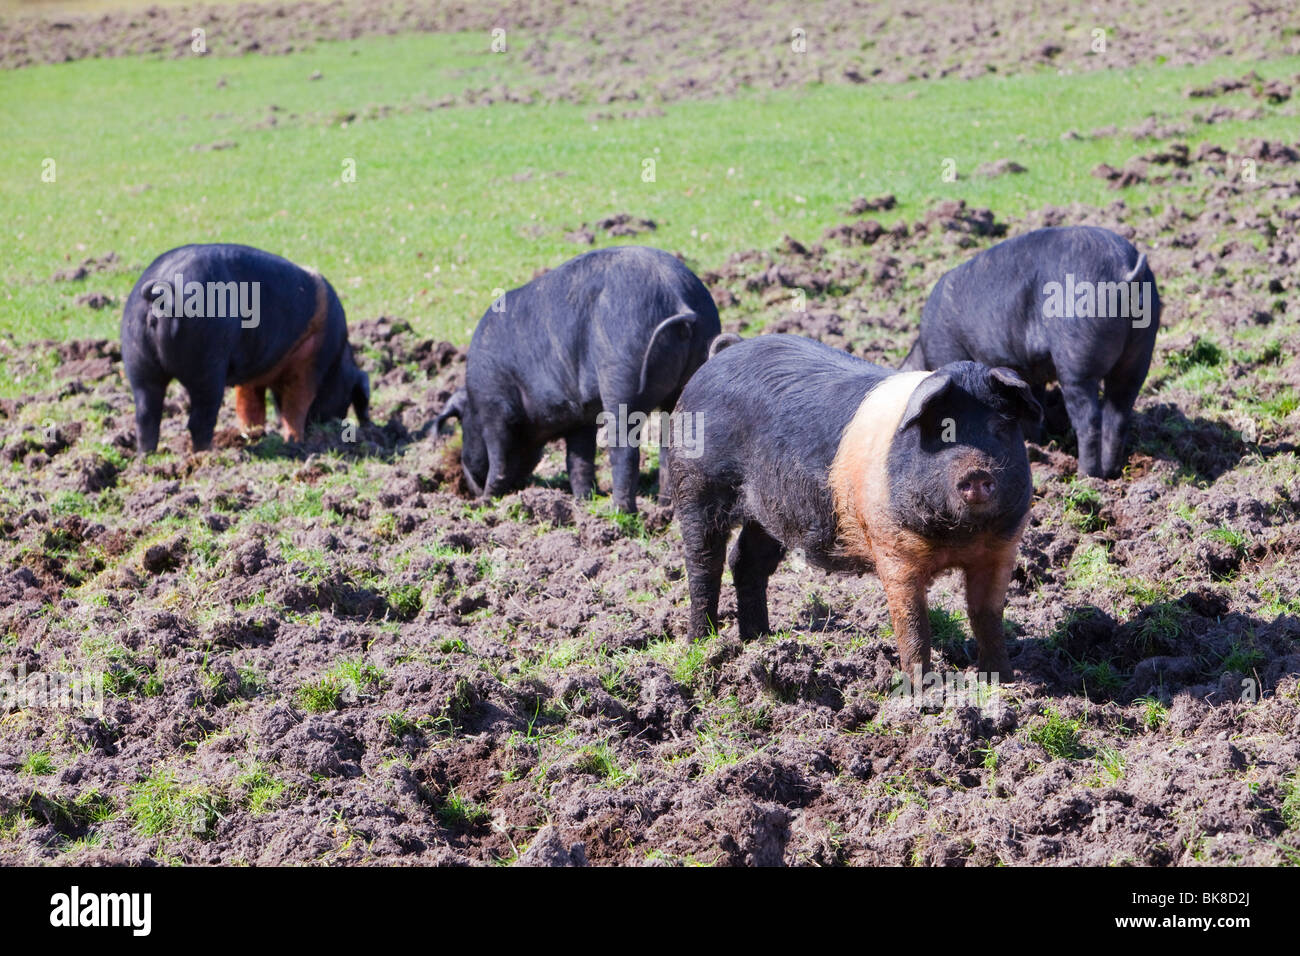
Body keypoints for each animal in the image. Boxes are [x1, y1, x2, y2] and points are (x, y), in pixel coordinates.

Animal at [120, 243, 370, 454]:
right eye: (348, 395)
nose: (332, 426)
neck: (337, 359)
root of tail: (162, 290)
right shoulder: (309, 362)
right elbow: (295, 405)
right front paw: (295, 443)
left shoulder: (253, 376)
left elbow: (250, 404)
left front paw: (253, 435)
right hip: (208, 363)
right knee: (199, 420)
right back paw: (208, 454)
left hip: (137, 359)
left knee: (146, 415)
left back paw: (146, 456)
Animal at [435, 246, 721, 513]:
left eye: (462, 424)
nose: (470, 490)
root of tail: (676, 296)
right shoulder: (580, 417)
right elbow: (578, 459)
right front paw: (583, 500)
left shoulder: (494, 405)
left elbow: (499, 456)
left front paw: (486, 501)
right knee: (669, 442)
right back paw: (664, 508)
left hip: (621, 373)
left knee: (624, 447)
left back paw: (618, 511)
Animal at [665, 333, 1041, 677]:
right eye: (944, 431)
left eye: (999, 427)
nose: (976, 472)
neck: (958, 537)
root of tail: (721, 354)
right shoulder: (892, 548)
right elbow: (913, 622)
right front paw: (920, 689)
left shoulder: (1001, 549)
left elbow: (987, 617)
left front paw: (1001, 679)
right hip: (696, 484)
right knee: (704, 563)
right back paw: (702, 644)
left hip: (770, 511)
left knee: (746, 560)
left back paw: (759, 640)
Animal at [901, 225, 1160, 479]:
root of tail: (1126, 271)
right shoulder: (1030, 374)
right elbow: (1033, 405)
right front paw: (1035, 442)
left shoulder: (947, 350)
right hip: (1140, 354)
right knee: (1119, 414)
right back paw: (1110, 473)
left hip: (1077, 354)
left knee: (1090, 421)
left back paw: (1087, 476)